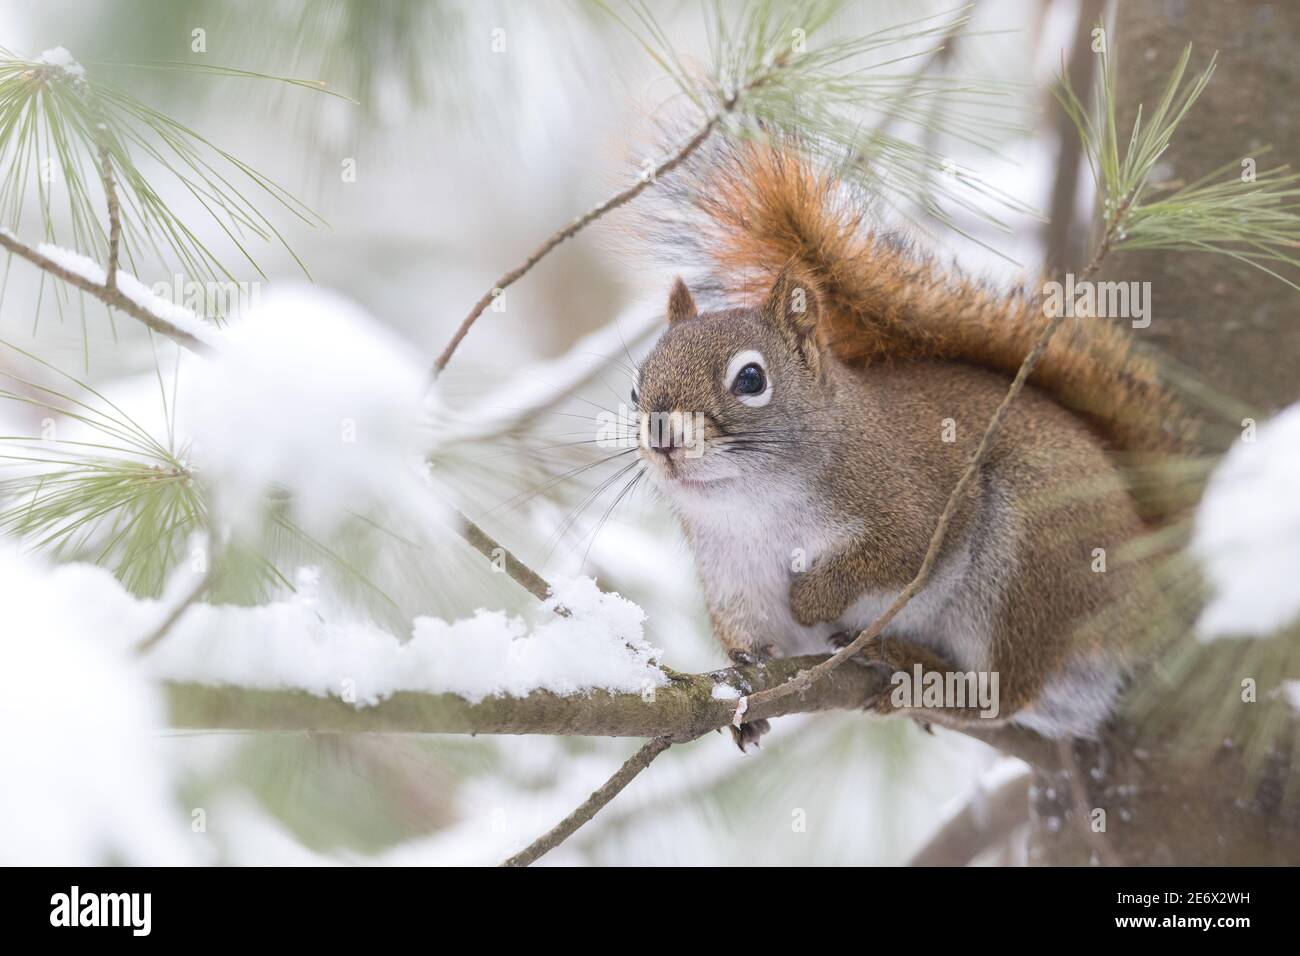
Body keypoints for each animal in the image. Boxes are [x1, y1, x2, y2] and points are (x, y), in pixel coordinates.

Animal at [631, 142, 1188, 748]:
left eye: (751, 379)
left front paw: (812, 597)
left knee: (1002, 695)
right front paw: (745, 686)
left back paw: (908, 665)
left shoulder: (918, 502)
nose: (662, 434)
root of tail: (1149, 578)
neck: (753, 506)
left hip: (1033, 556)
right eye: (637, 386)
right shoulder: (732, 580)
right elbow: (749, 642)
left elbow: (895, 555)